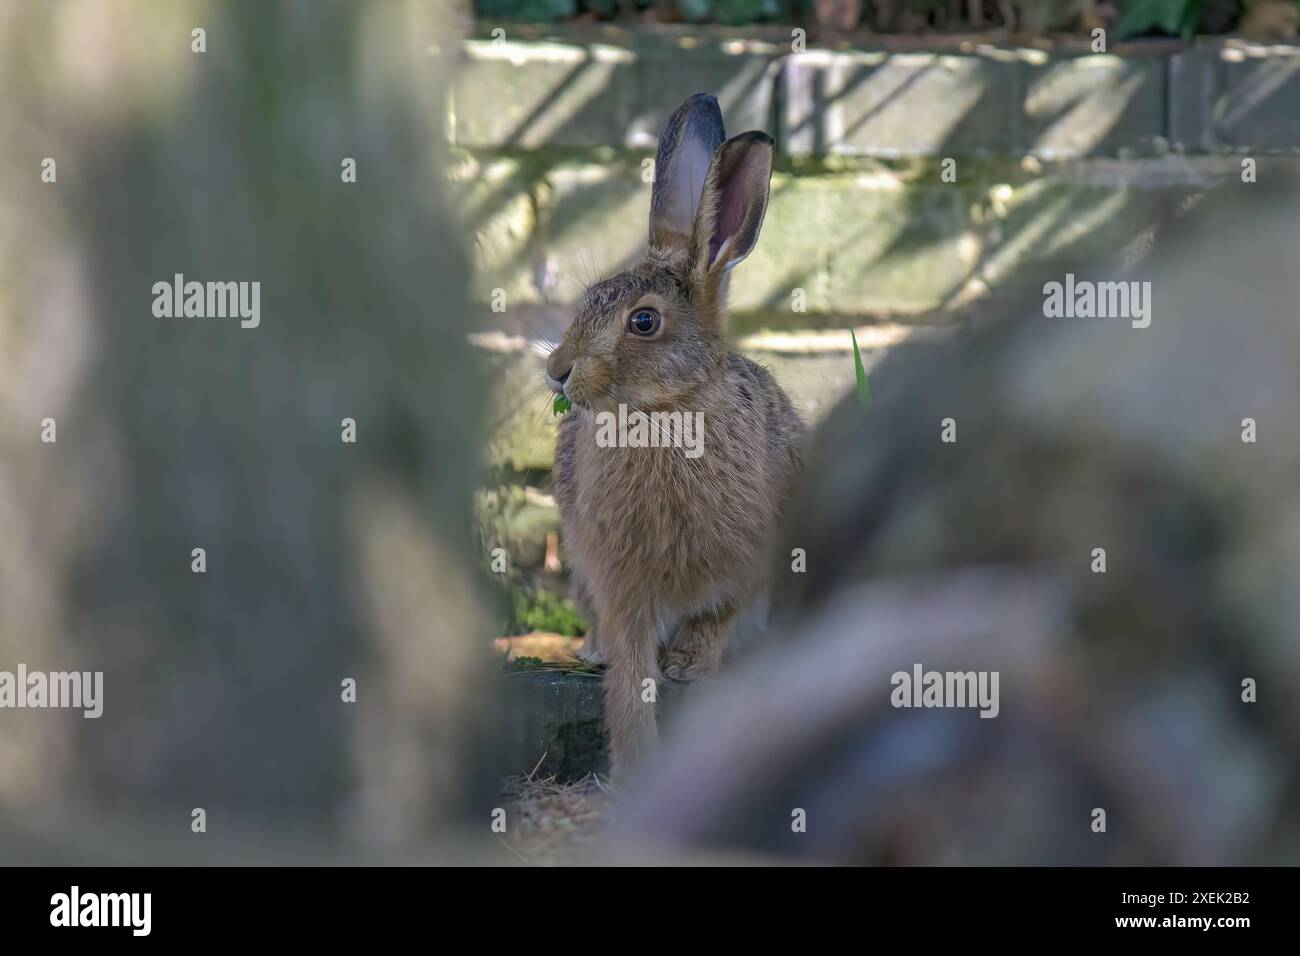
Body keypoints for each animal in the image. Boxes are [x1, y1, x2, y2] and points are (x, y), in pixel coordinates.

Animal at [545, 93, 804, 777]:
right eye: (585, 302)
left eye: (643, 322)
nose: (556, 370)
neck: (665, 412)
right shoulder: (619, 582)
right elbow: (631, 670)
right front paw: (636, 758)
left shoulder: (748, 563)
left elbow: (720, 612)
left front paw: (689, 664)